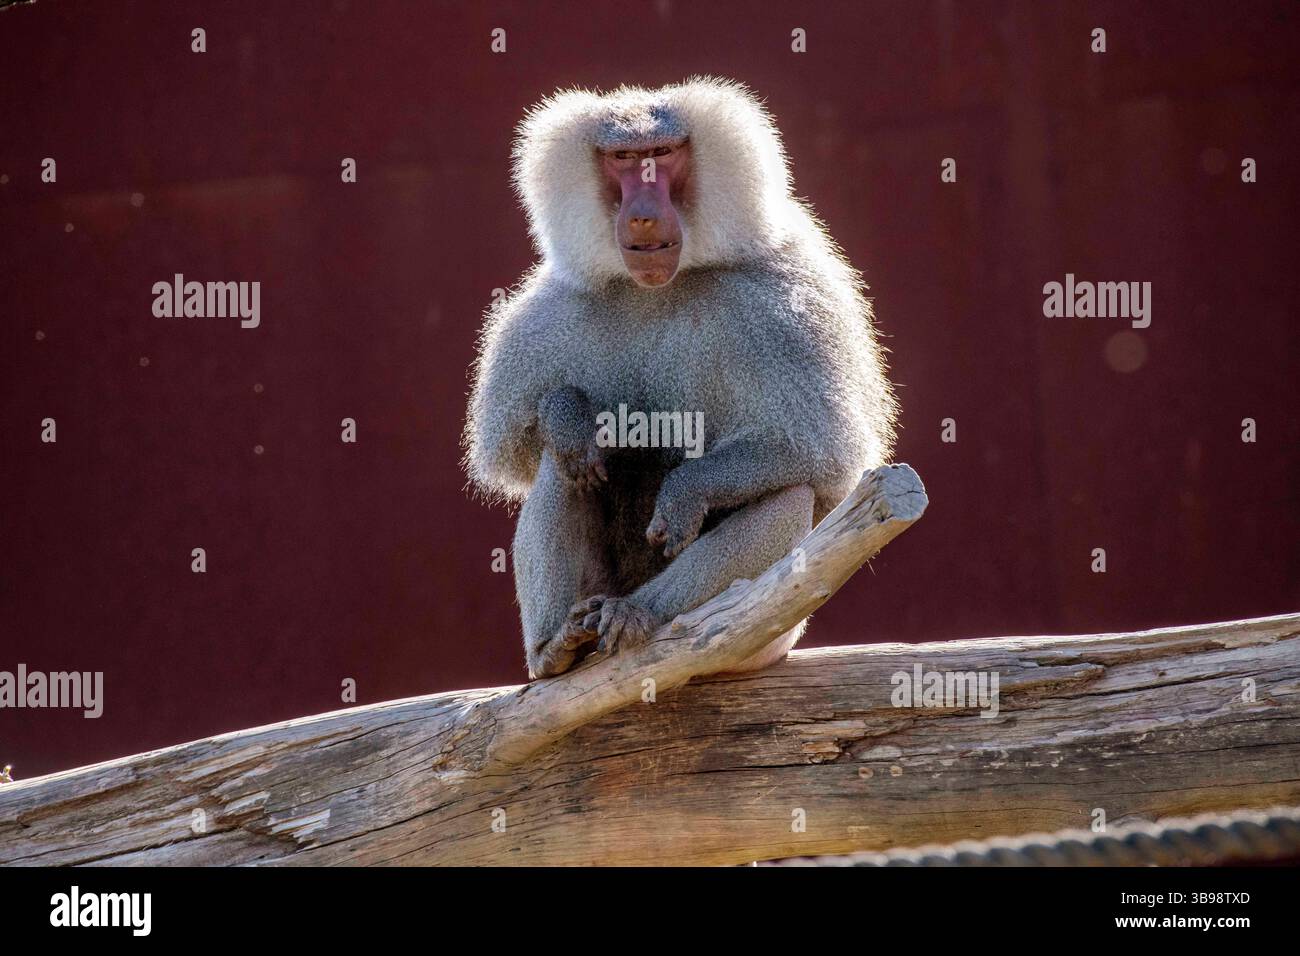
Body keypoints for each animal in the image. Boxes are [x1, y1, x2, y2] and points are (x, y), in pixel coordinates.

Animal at [463, 77, 897, 679]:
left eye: (662, 154)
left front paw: (685, 492)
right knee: (563, 464)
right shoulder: (549, 315)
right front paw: (568, 412)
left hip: (767, 632)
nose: (643, 216)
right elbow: (516, 452)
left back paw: (641, 615)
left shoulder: (786, 302)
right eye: (623, 160)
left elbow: (823, 454)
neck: (661, 287)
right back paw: (553, 650)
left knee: (789, 495)